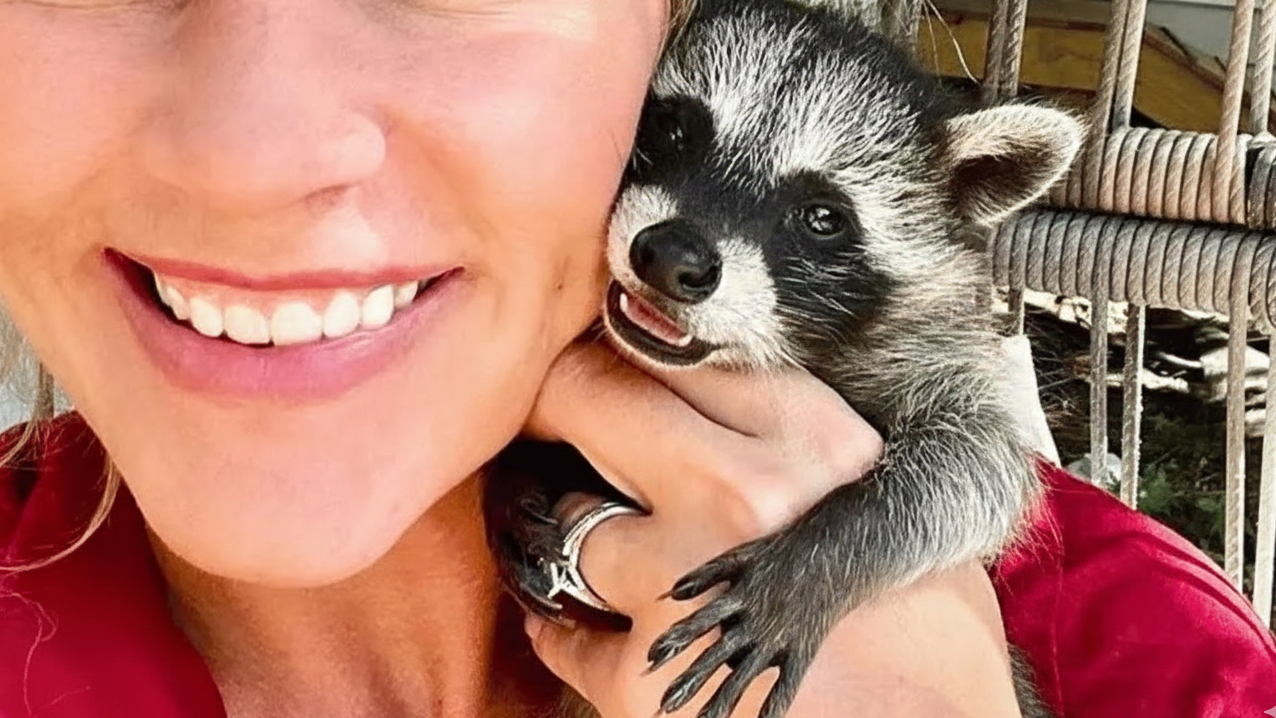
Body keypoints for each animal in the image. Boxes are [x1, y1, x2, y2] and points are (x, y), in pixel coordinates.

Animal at [484, 1, 1083, 717]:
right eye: (673, 128)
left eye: (822, 216)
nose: (671, 257)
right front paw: (511, 480)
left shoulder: (942, 361)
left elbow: (978, 469)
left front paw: (825, 553)